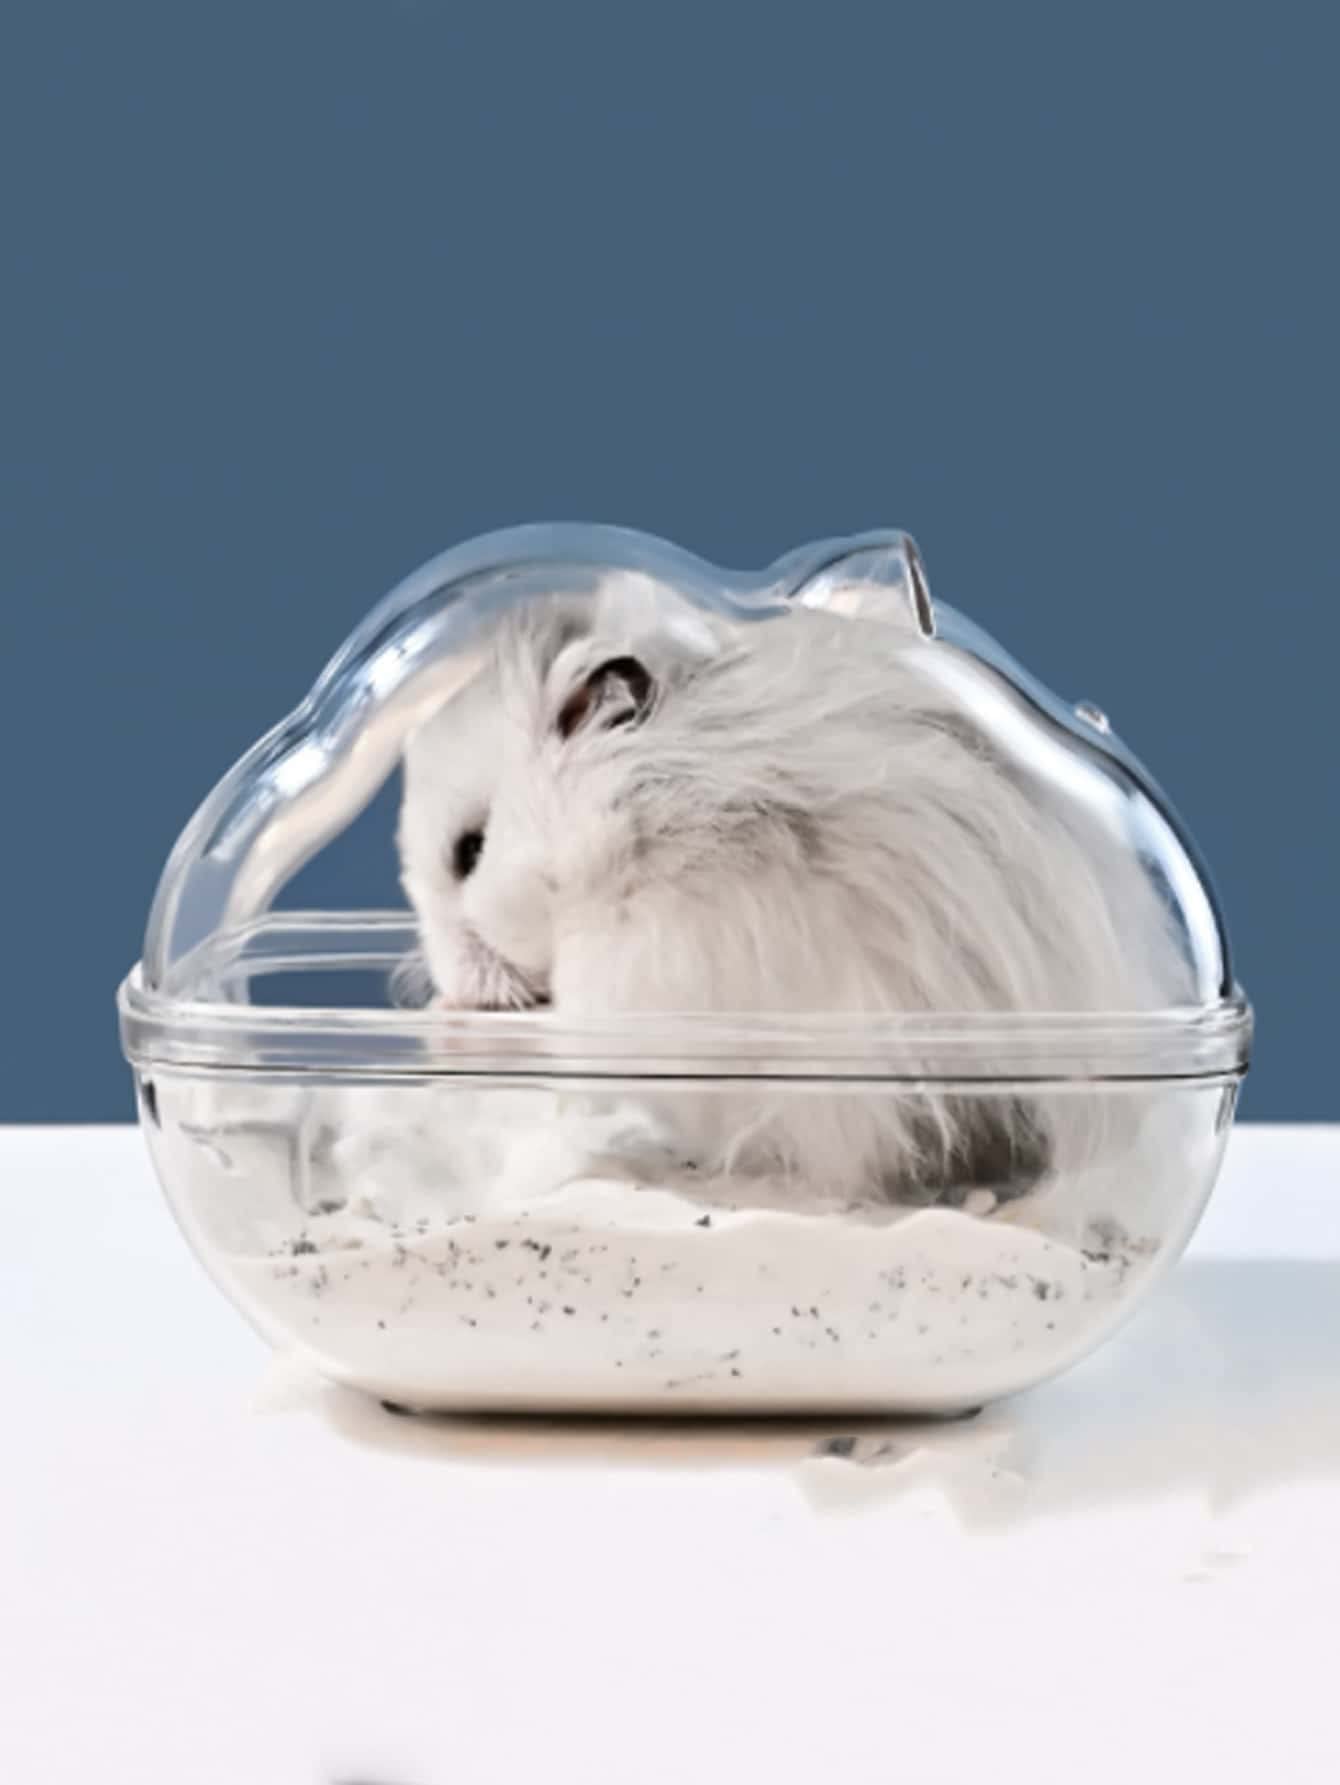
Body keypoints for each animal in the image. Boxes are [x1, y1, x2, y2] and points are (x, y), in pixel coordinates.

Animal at [397, 575, 1193, 1207]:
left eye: (469, 851)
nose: (445, 981)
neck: (634, 824)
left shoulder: (654, 970)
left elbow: (566, 1024)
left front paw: (454, 1021)